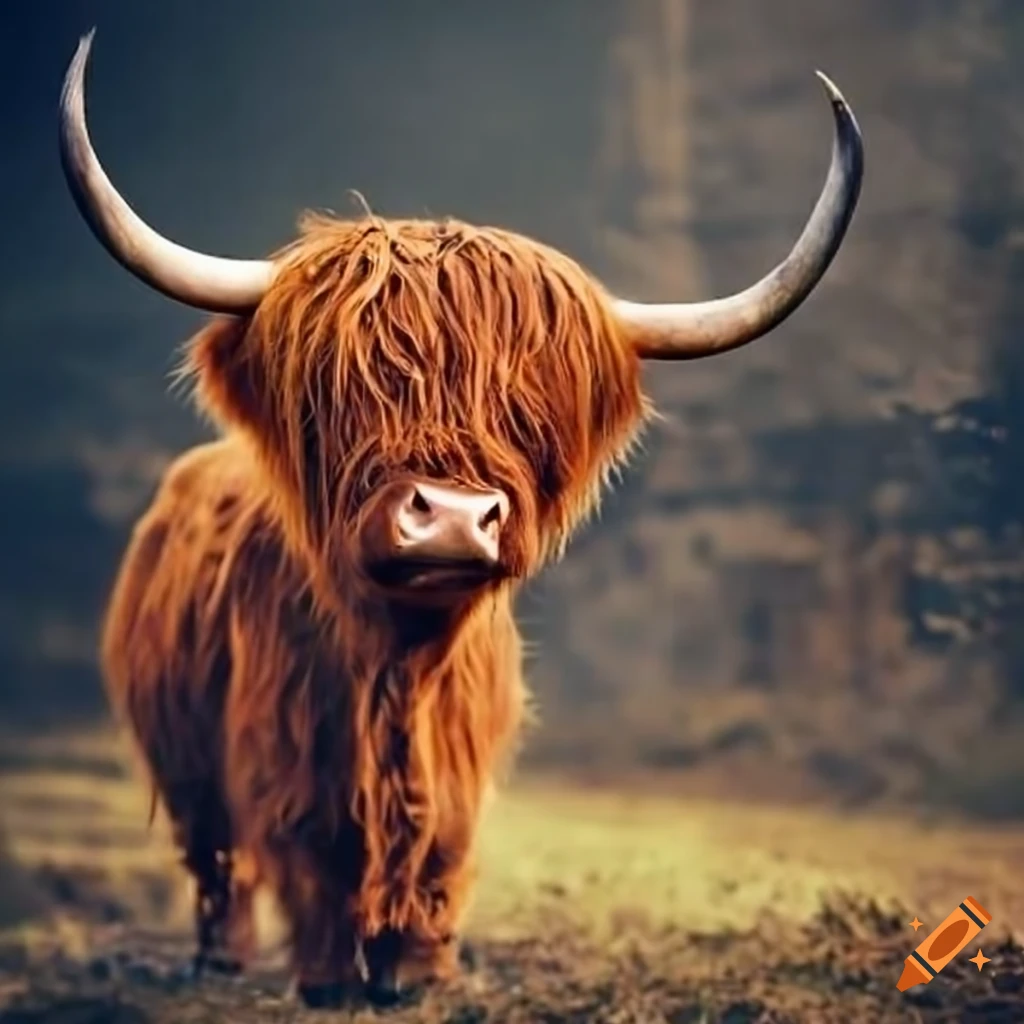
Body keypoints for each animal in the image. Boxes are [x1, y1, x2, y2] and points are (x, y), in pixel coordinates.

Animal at [59, 29, 862, 1009]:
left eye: (527, 408)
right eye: (347, 388)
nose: (449, 518)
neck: (397, 679)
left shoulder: (459, 772)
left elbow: (440, 856)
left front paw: (421, 975)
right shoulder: (284, 758)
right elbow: (312, 855)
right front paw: (329, 981)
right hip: (183, 761)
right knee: (215, 862)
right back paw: (221, 959)